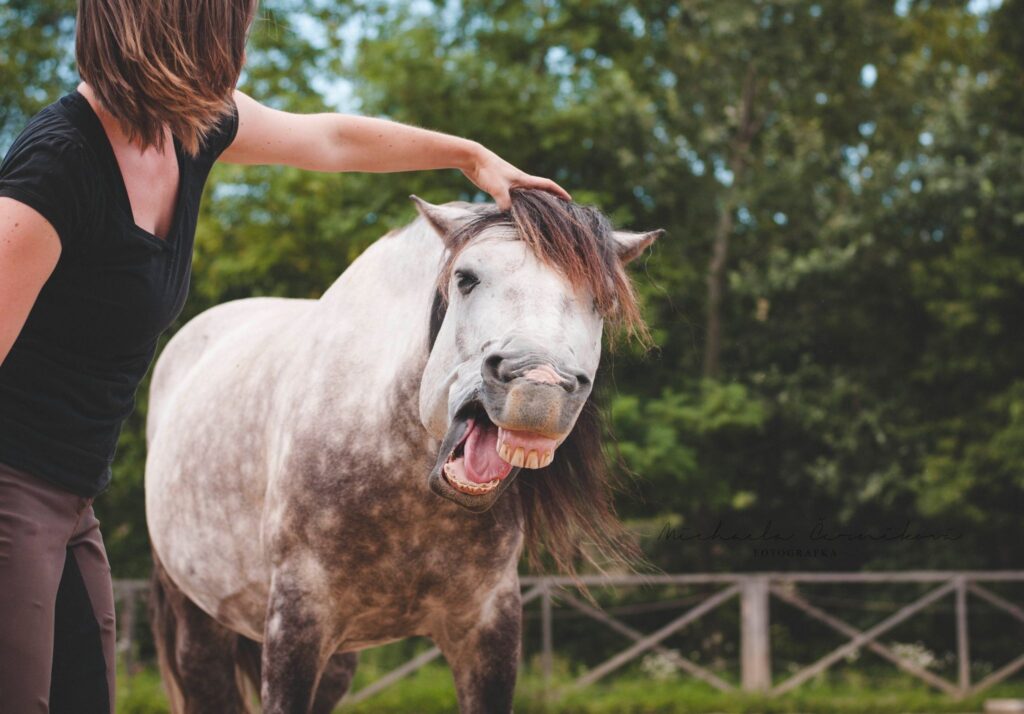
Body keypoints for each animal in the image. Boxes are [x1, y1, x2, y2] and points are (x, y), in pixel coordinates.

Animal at [144, 187, 662, 714]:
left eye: (602, 301)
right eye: (465, 278)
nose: (538, 384)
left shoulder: (489, 623)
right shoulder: (296, 617)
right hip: (201, 621)